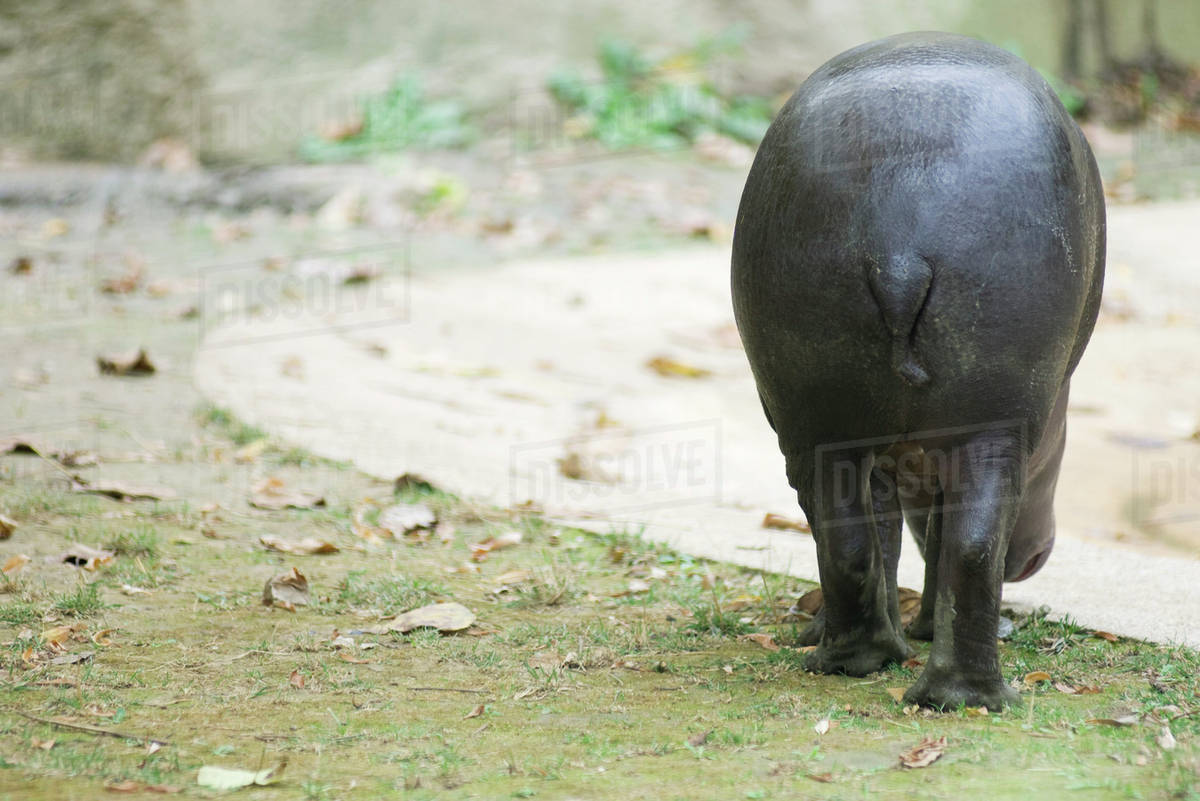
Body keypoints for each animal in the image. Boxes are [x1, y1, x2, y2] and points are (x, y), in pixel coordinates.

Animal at [731, 32, 1105, 709]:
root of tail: (897, 250)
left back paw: (864, 661)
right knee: (973, 541)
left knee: (851, 536)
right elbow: (932, 536)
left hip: (817, 418)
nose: (1036, 555)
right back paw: (972, 693)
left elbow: (888, 535)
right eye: (1064, 445)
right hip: (994, 421)